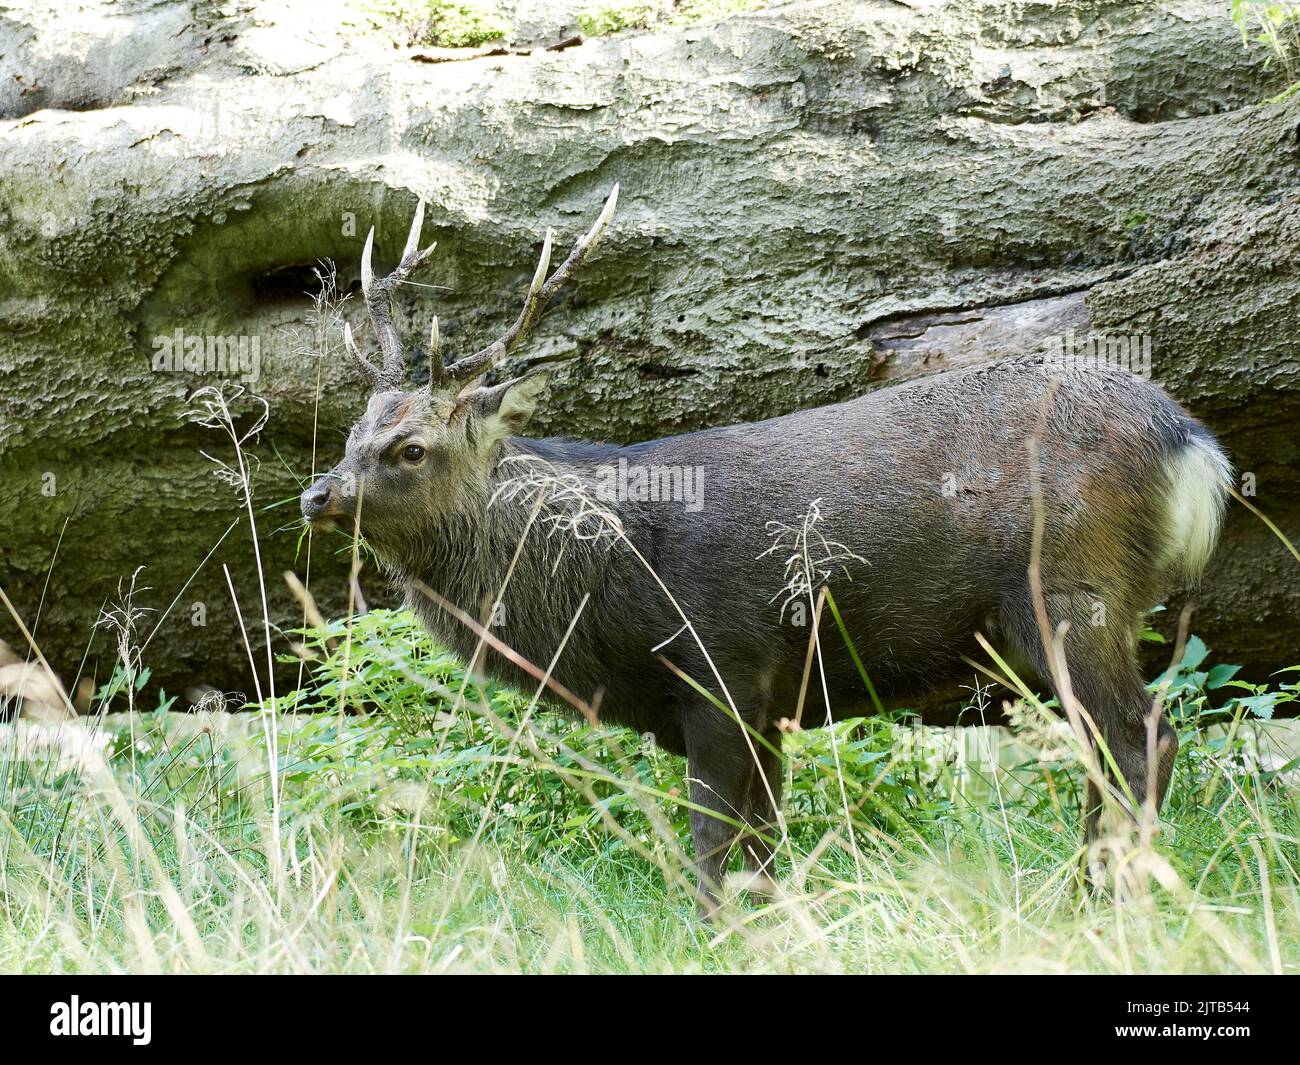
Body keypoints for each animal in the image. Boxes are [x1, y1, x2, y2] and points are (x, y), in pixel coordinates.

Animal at [300, 187, 1231, 915]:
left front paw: (712, 933)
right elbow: (764, 845)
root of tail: (1194, 447)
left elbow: (714, 842)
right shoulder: (774, 701)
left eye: (411, 448)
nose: (318, 495)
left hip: (1071, 589)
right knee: (1108, 747)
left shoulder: (724, 662)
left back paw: (1111, 898)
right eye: (350, 435)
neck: (610, 586)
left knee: (1140, 736)